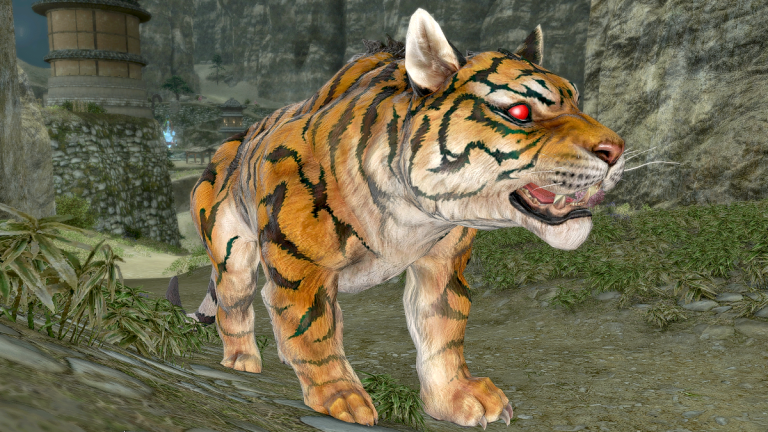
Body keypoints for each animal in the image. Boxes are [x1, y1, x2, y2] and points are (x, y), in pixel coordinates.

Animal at [184, 8, 624, 429]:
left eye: (577, 101)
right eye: (519, 111)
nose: (617, 150)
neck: (411, 213)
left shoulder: (442, 267)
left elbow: (443, 331)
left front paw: (456, 397)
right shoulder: (301, 267)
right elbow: (312, 329)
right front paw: (339, 397)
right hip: (233, 254)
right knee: (234, 304)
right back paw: (243, 362)